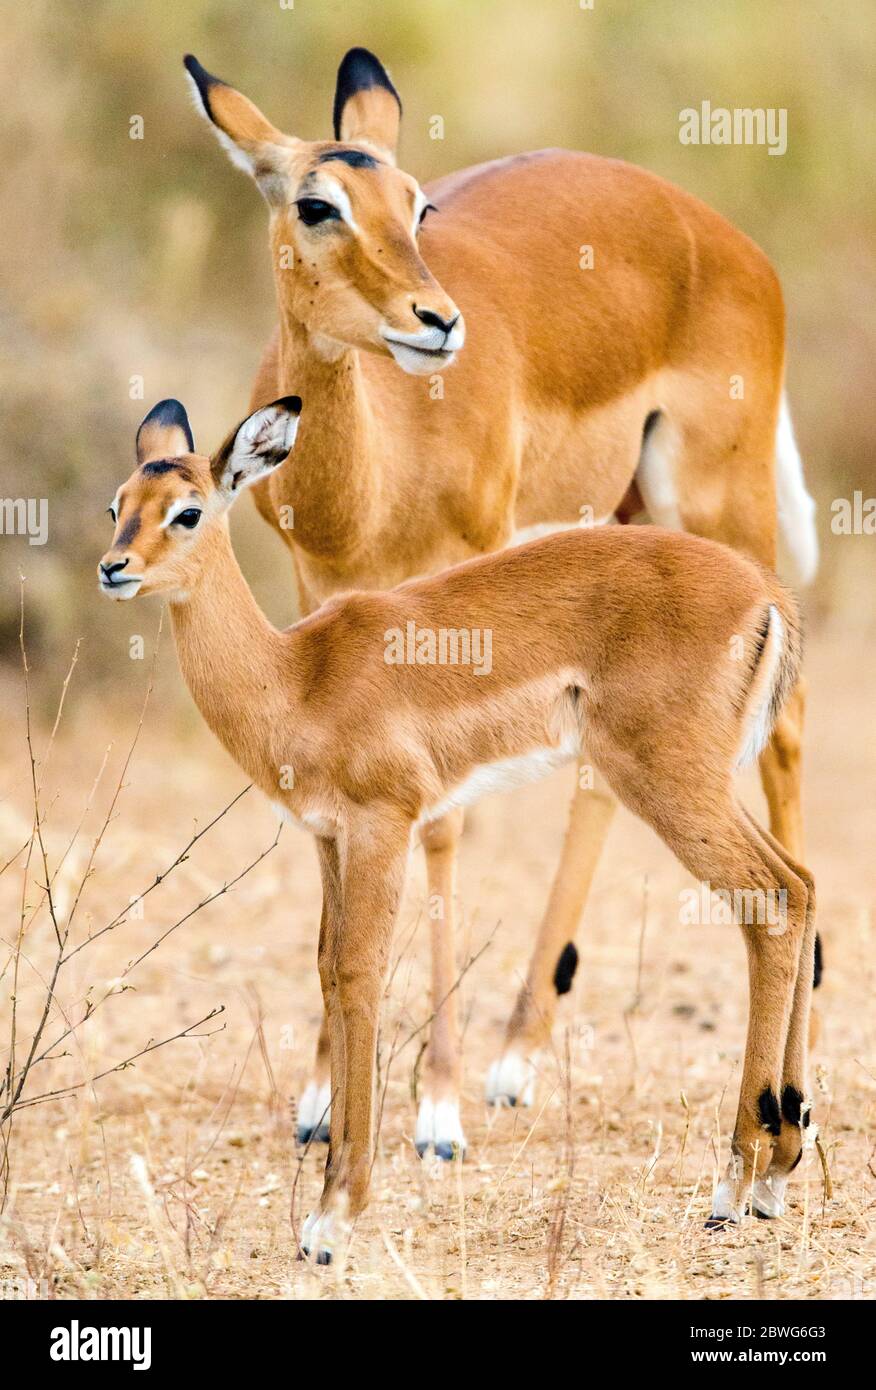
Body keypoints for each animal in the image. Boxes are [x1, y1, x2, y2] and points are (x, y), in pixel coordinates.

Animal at [99, 396, 815, 1261]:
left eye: (188, 511)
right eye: (117, 504)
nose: (114, 567)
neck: (294, 679)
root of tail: (767, 594)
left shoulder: (383, 826)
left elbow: (361, 974)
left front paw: (333, 1216)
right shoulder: (330, 840)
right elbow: (328, 970)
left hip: (669, 784)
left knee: (767, 902)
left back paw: (733, 1186)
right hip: (700, 786)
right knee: (799, 886)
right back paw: (778, 1169)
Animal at [182, 47, 820, 1156]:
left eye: (417, 201)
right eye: (316, 201)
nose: (435, 323)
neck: (375, 477)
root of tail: (724, 235)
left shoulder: (462, 587)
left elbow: (443, 827)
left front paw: (435, 1110)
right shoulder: (326, 598)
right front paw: (321, 1100)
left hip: (715, 509)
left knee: (782, 742)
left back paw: (802, 1081)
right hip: (620, 533)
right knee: (604, 779)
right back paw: (519, 1058)